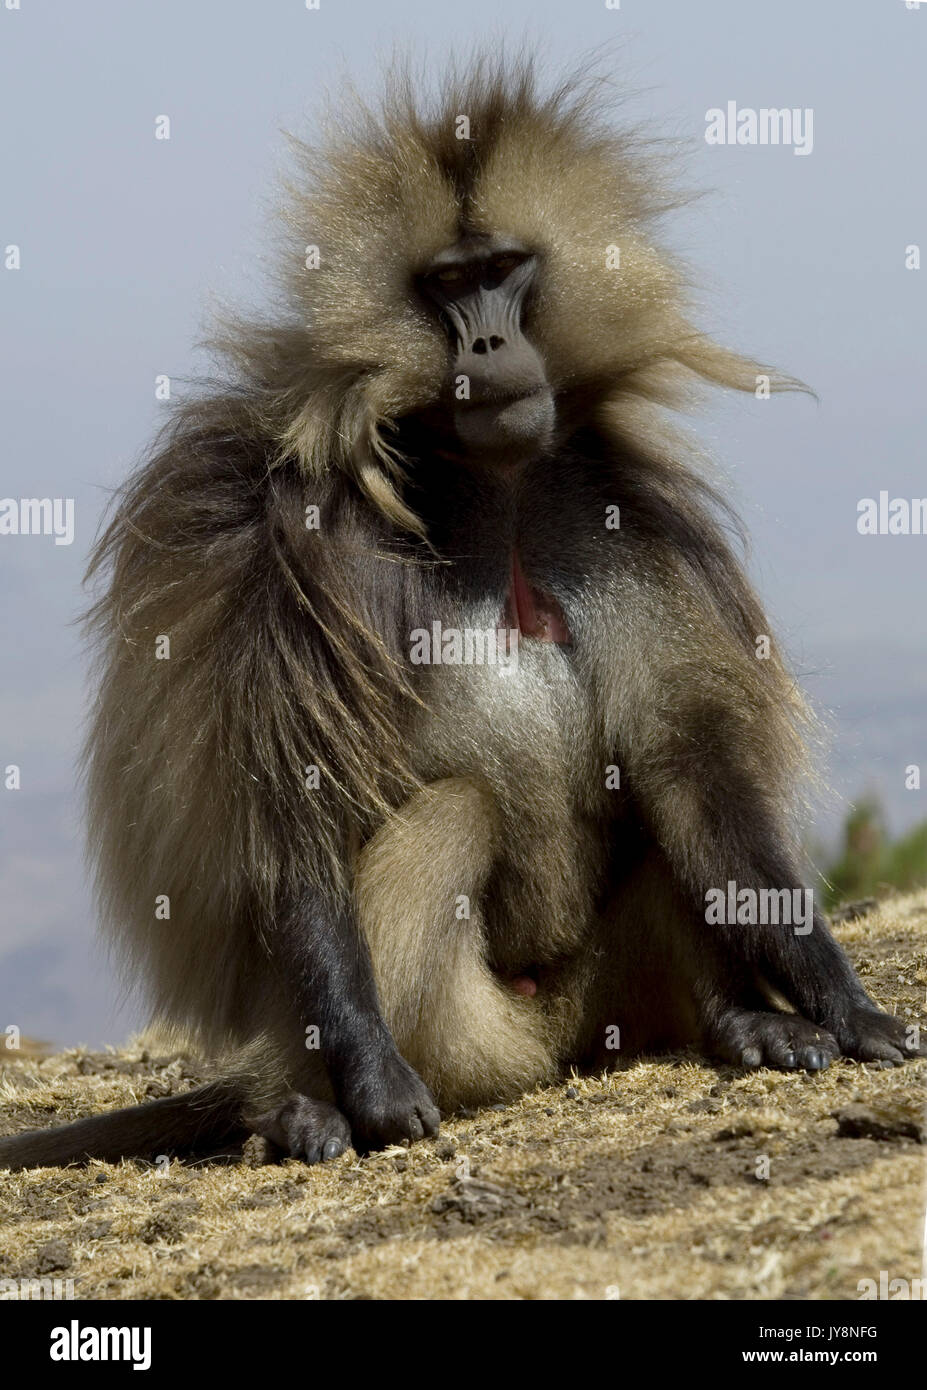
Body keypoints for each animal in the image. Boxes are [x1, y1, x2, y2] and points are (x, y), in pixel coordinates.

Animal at [1, 57, 922, 1172]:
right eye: (447, 284)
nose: (487, 339)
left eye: (507, 269)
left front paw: (839, 1000)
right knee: (454, 814)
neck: (500, 486)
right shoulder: (296, 541)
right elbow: (297, 801)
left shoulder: (618, 518)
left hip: (608, 995)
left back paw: (741, 1020)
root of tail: (557, 1036)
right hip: (470, 1035)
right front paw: (367, 1086)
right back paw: (305, 1108)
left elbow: (690, 761)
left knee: (662, 803)